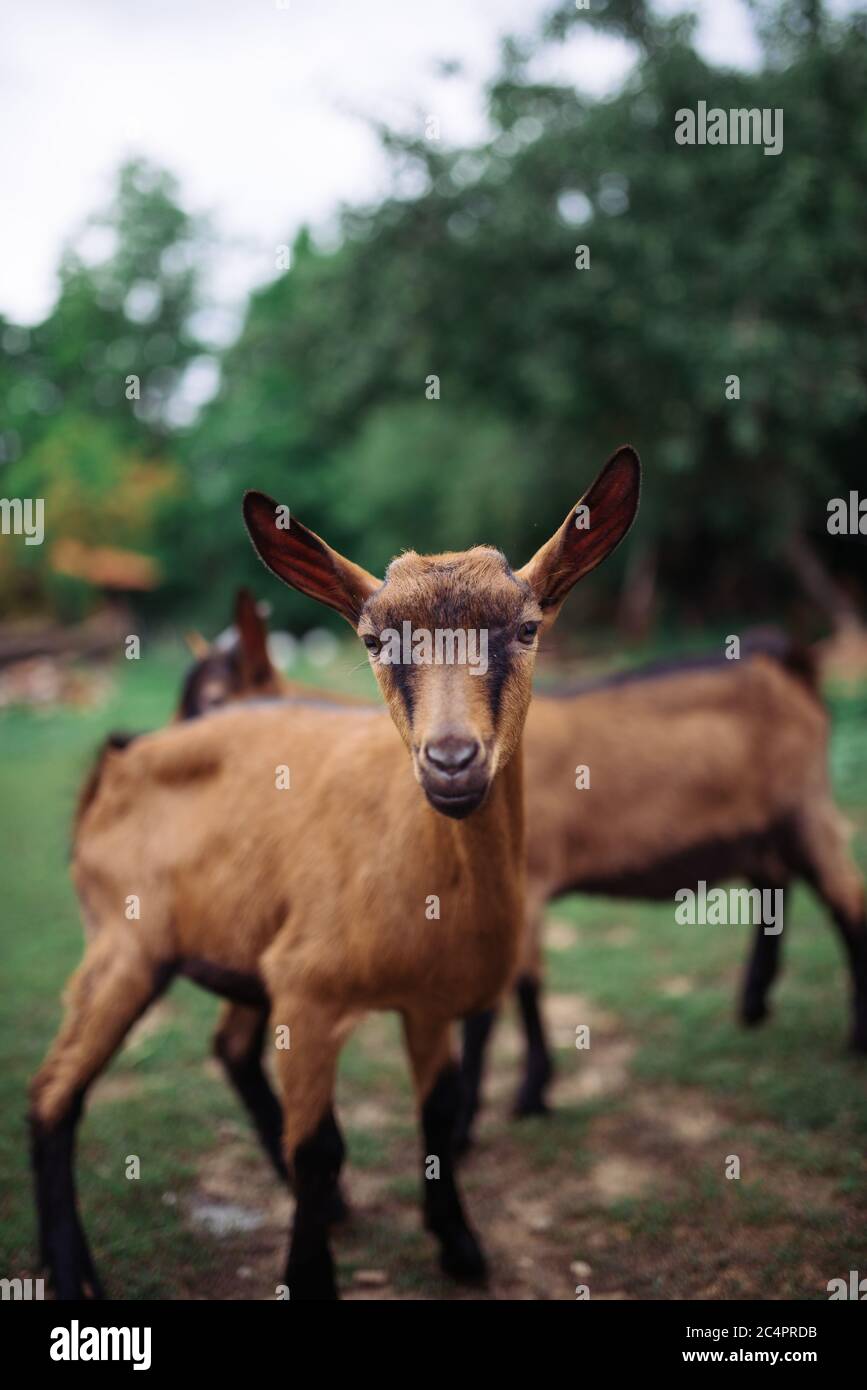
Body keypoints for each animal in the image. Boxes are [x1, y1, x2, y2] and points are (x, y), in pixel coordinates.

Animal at [29, 446, 641, 1300]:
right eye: (374, 640)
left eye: (526, 628)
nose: (452, 761)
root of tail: (117, 760)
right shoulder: (308, 995)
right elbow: (316, 1144)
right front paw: (311, 1275)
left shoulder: (428, 1003)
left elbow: (437, 1116)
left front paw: (459, 1245)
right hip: (124, 946)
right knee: (53, 1093)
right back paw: (68, 1271)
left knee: (216, 1053)